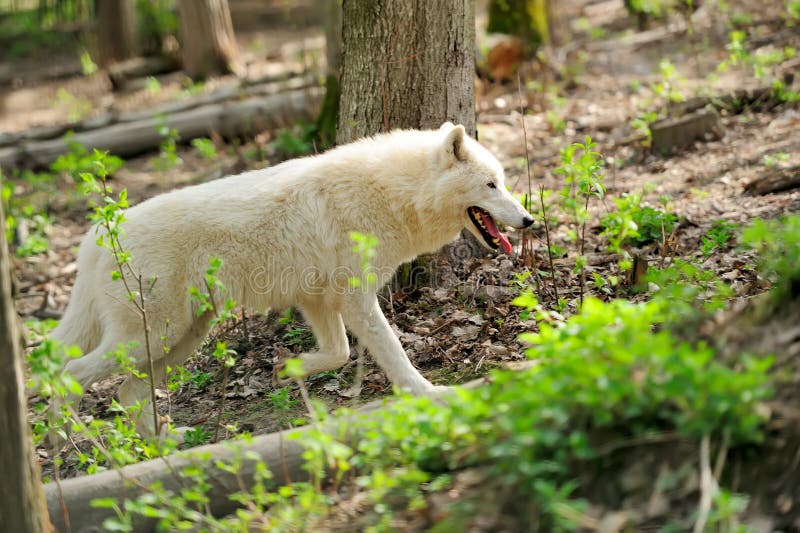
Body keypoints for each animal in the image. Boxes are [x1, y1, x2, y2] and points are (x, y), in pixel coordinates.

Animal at [46, 122, 533, 438]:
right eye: (491, 185)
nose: (529, 220)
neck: (391, 193)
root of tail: (96, 236)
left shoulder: (318, 299)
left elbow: (338, 353)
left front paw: (288, 369)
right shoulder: (354, 299)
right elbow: (393, 353)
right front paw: (427, 393)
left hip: (178, 340)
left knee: (127, 392)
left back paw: (161, 443)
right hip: (152, 337)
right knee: (71, 372)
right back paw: (69, 439)